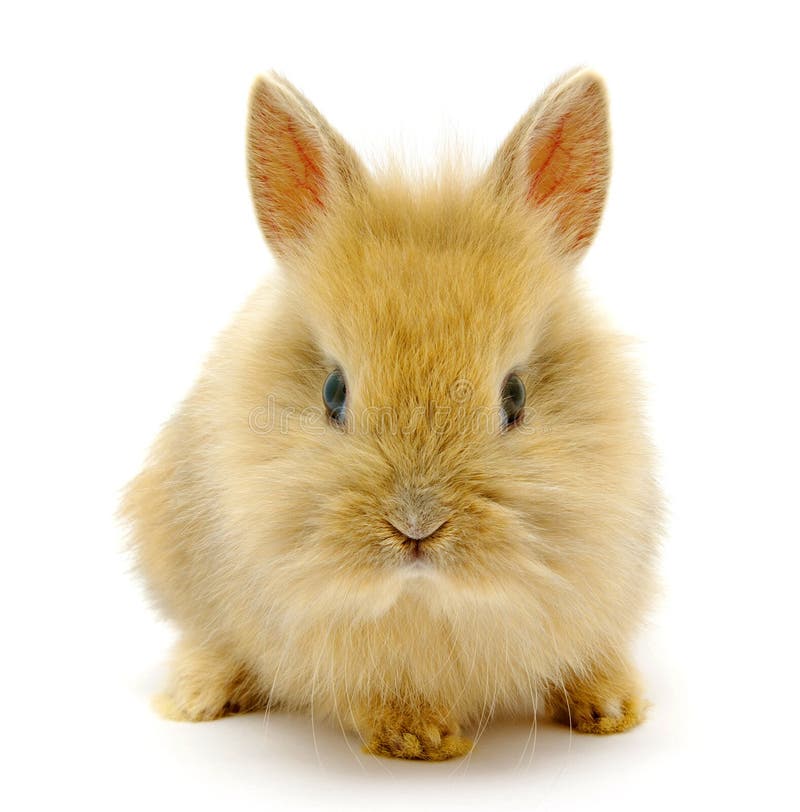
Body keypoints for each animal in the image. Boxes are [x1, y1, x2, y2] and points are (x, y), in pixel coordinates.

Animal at [120, 68, 662, 761]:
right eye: (333, 393)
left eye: (514, 396)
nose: (417, 527)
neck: (427, 602)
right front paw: (421, 738)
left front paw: (612, 708)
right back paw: (198, 696)